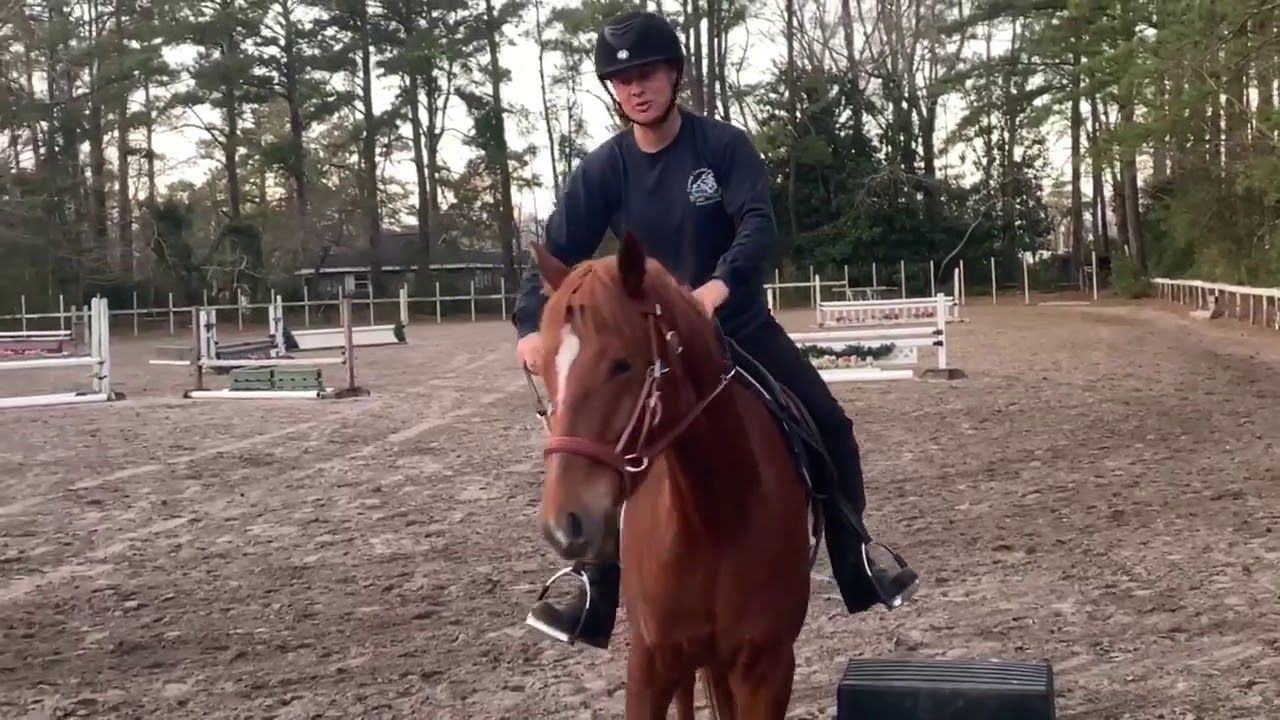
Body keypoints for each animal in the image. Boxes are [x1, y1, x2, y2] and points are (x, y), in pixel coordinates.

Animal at [530, 231, 822, 718]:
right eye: (543, 367)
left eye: (622, 364)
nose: (563, 525)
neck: (713, 519)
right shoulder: (650, 663)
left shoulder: (768, 667)